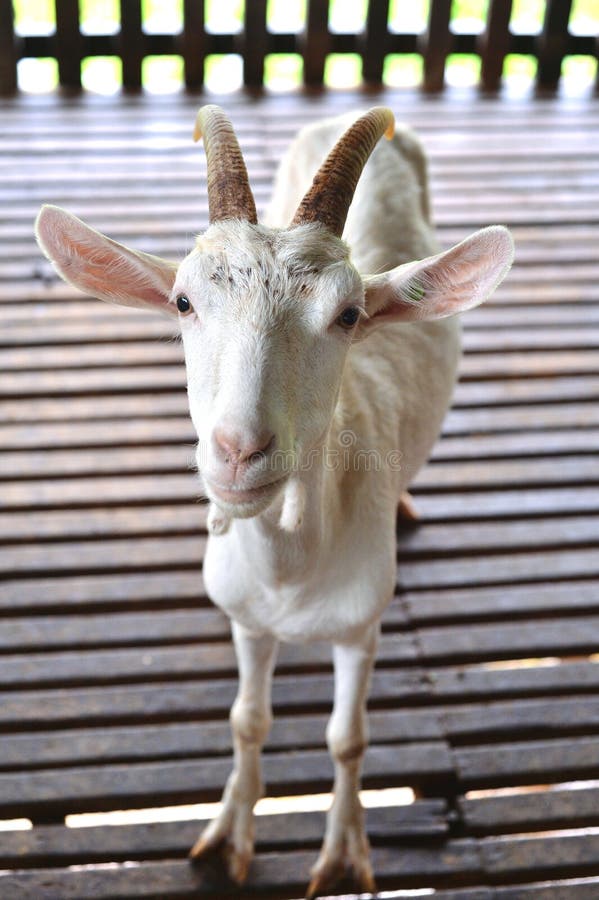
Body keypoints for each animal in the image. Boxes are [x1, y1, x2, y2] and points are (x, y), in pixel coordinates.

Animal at [35, 105, 514, 898]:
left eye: (349, 314)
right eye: (183, 302)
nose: (237, 451)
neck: (292, 568)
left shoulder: (360, 627)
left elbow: (347, 738)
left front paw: (343, 856)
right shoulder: (248, 621)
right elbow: (246, 721)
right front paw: (227, 839)